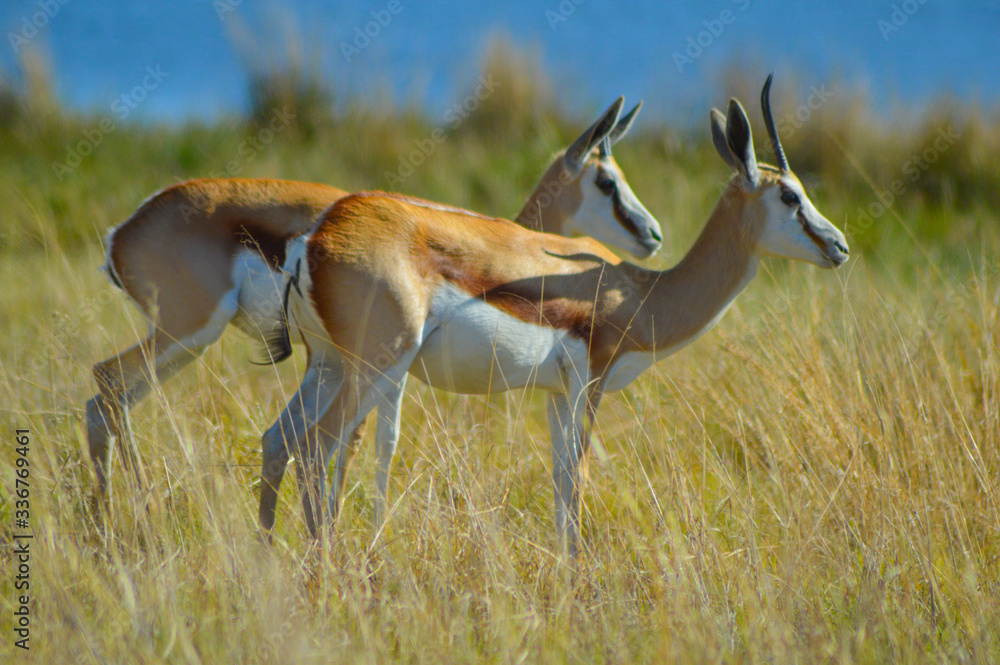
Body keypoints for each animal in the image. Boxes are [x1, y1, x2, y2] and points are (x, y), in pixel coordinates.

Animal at [86, 97, 663, 500]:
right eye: (606, 182)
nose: (653, 234)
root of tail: (123, 231)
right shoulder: (385, 367)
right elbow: (367, 445)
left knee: (108, 396)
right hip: (191, 332)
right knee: (109, 384)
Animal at [258, 76, 849, 555]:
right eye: (791, 195)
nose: (840, 246)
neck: (641, 292)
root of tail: (318, 237)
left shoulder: (555, 393)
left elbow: (562, 480)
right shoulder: (590, 384)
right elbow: (579, 477)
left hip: (329, 365)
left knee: (279, 440)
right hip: (375, 367)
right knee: (316, 447)